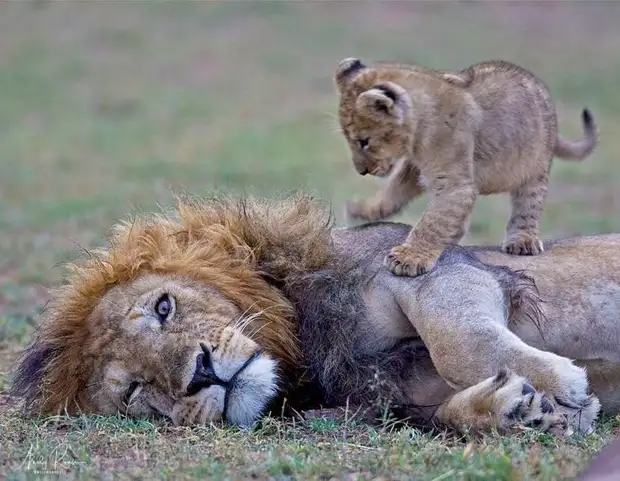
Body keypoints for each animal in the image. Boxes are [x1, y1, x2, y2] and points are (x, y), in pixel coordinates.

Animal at [10, 192, 620, 436]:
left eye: (164, 307)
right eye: (135, 391)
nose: (201, 374)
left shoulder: (426, 265)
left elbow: (459, 340)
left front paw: (559, 384)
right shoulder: (392, 402)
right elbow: (446, 412)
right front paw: (522, 411)